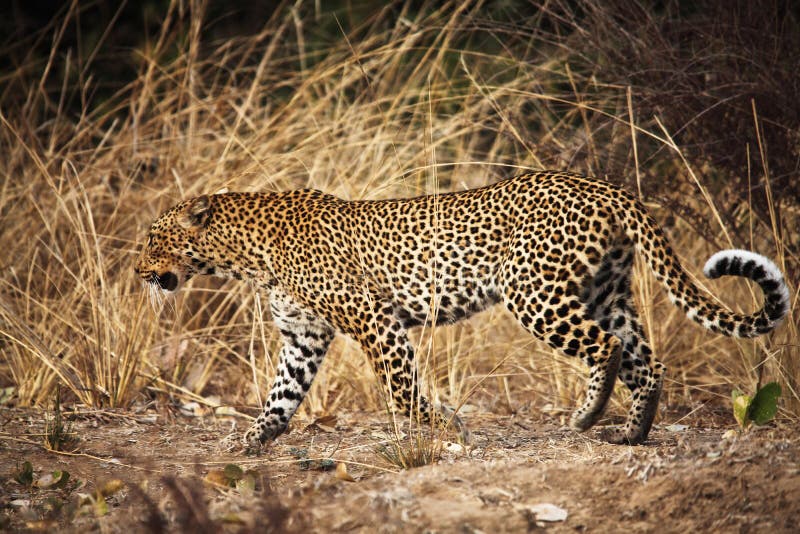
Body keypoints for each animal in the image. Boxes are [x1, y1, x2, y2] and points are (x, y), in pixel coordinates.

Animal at [135, 171, 790, 447]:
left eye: (153, 241)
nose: (139, 272)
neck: (242, 255)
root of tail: (606, 186)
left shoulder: (376, 321)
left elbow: (402, 389)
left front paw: (442, 427)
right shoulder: (304, 337)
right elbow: (280, 394)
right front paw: (252, 440)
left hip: (536, 294)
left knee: (606, 349)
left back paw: (587, 417)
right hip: (606, 293)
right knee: (644, 357)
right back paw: (632, 433)